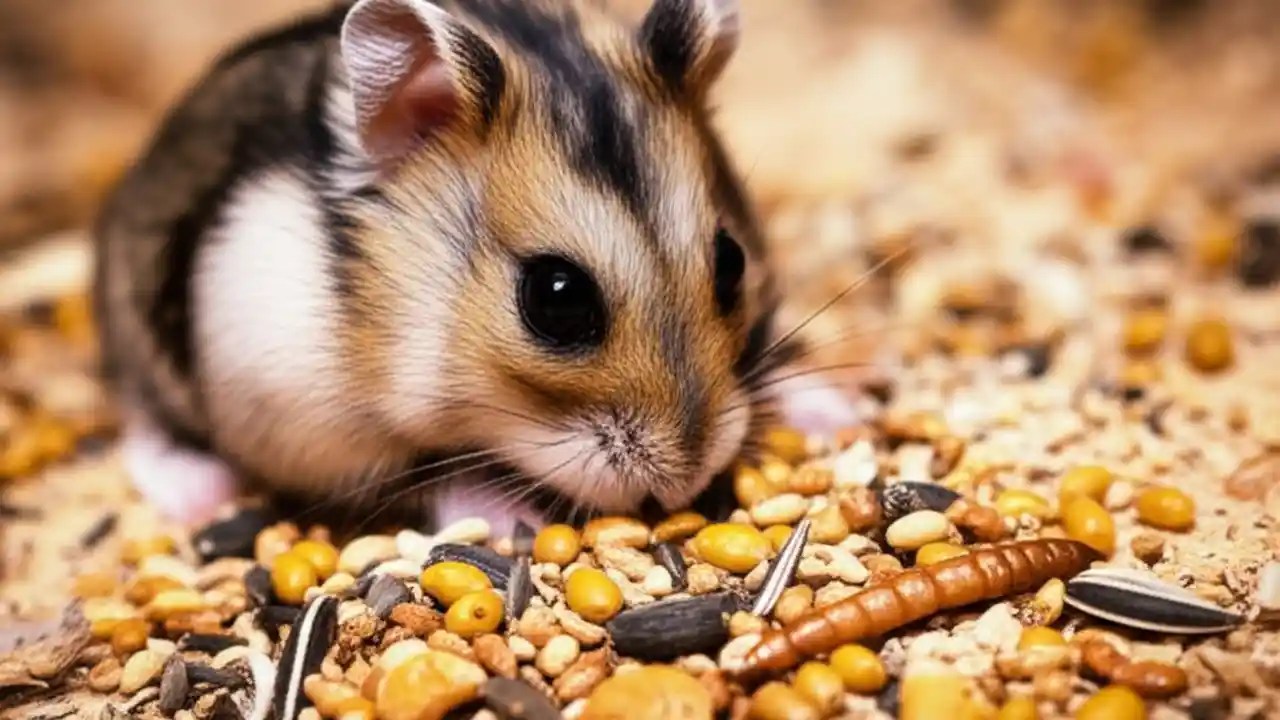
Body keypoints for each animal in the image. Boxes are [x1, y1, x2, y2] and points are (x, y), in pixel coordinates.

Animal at [93, 0, 860, 534]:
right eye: (556, 298)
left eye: (732, 261)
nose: (684, 483)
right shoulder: (299, 418)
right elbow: (423, 475)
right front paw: (517, 517)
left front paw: (841, 411)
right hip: (140, 332)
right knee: (143, 415)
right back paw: (198, 496)